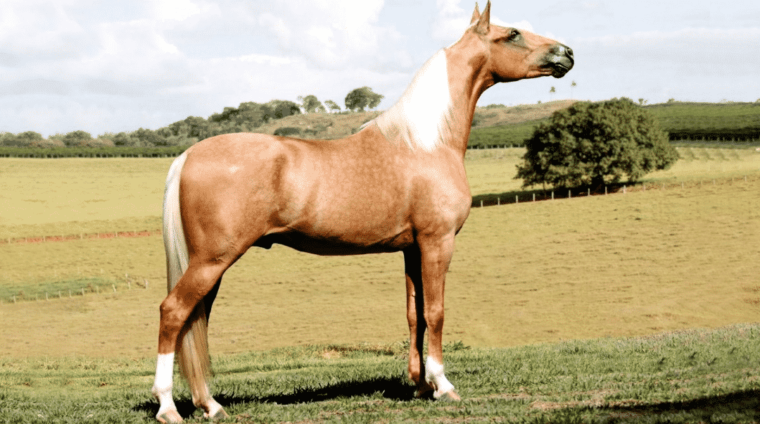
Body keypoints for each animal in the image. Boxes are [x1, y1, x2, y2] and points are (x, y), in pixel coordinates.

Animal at [151, 2, 573, 421]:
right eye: (512, 34)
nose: (567, 53)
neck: (425, 143)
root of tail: (188, 155)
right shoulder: (437, 243)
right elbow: (436, 311)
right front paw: (443, 385)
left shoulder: (411, 249)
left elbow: (415, 314)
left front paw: (420, 386)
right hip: (213, 260)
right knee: (174, 312)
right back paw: (168, 407)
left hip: (211, 263)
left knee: (196, 319)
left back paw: (209, 404)